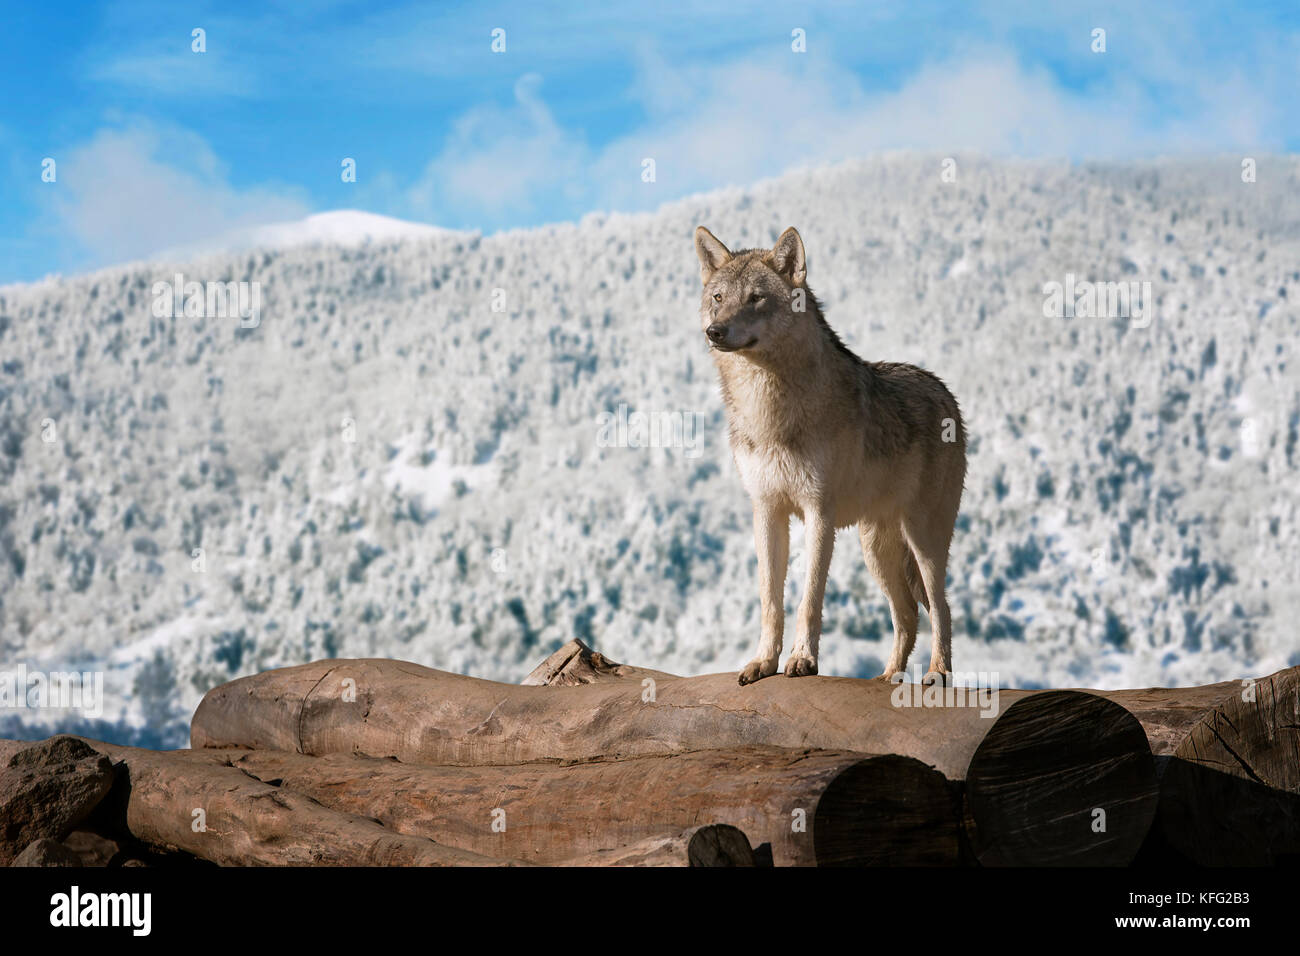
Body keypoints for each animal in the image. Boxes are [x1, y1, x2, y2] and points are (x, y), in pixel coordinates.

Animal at [694, 225, 967, 686]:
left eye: (755, 298)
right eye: (718, 297)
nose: (715, 331)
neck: (768, 409)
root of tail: (943, 390)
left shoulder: (818, 511)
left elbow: (809, 599)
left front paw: (802, 661)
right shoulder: (766, 510)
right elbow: (770, 601)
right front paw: (762, 662)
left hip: (923, 540)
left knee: (941, 607)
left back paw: (936, 674)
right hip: (875, 549)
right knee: (907, 614)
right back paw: (887, 677)